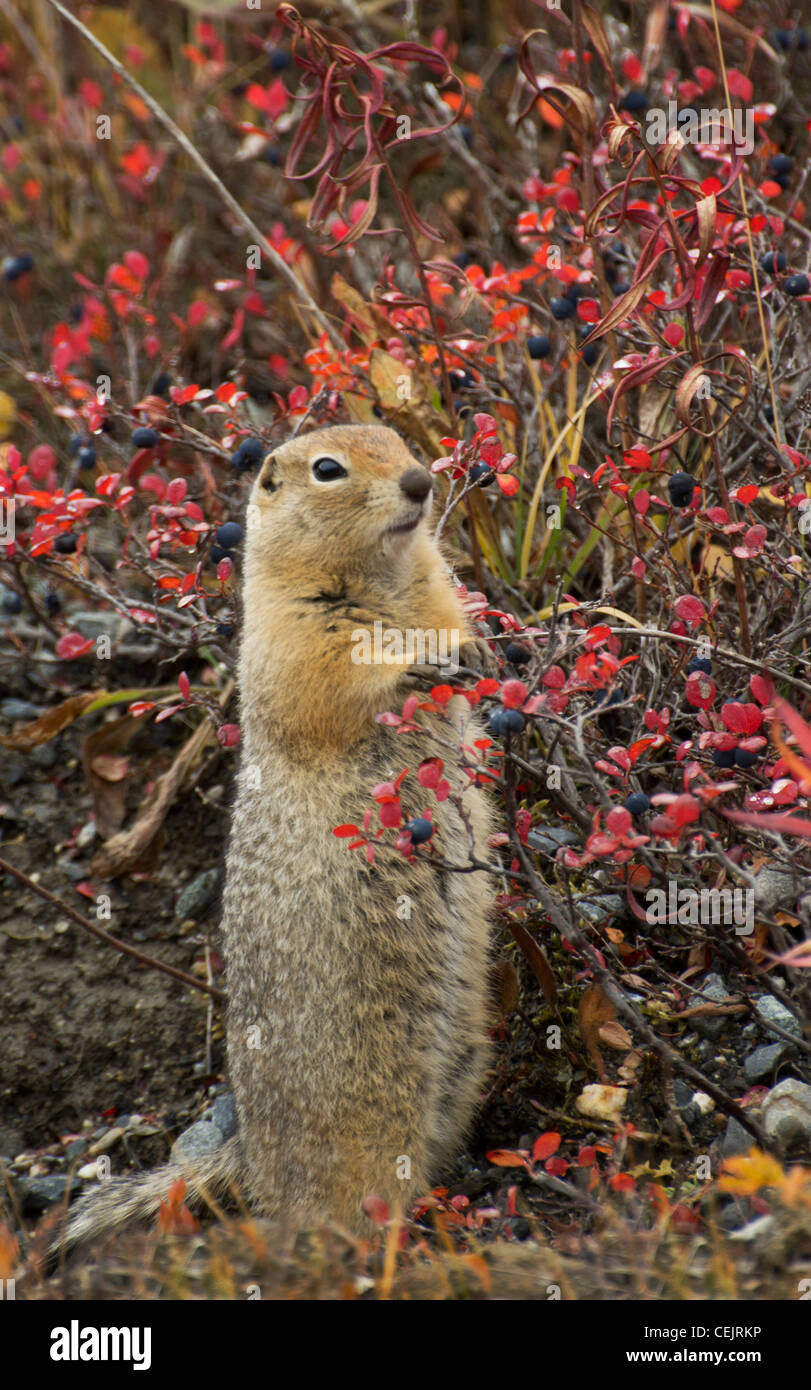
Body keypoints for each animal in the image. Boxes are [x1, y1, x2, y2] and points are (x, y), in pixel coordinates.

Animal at [57, 423, 495, 1252]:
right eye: (327, 469)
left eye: (396, 439)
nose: (422, 481)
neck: (381, 576)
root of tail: (249, 1158)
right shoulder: (296, 638)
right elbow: (336, 683)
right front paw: (412, 670)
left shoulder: (438, 591)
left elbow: (458, 629)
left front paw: (468, 654)